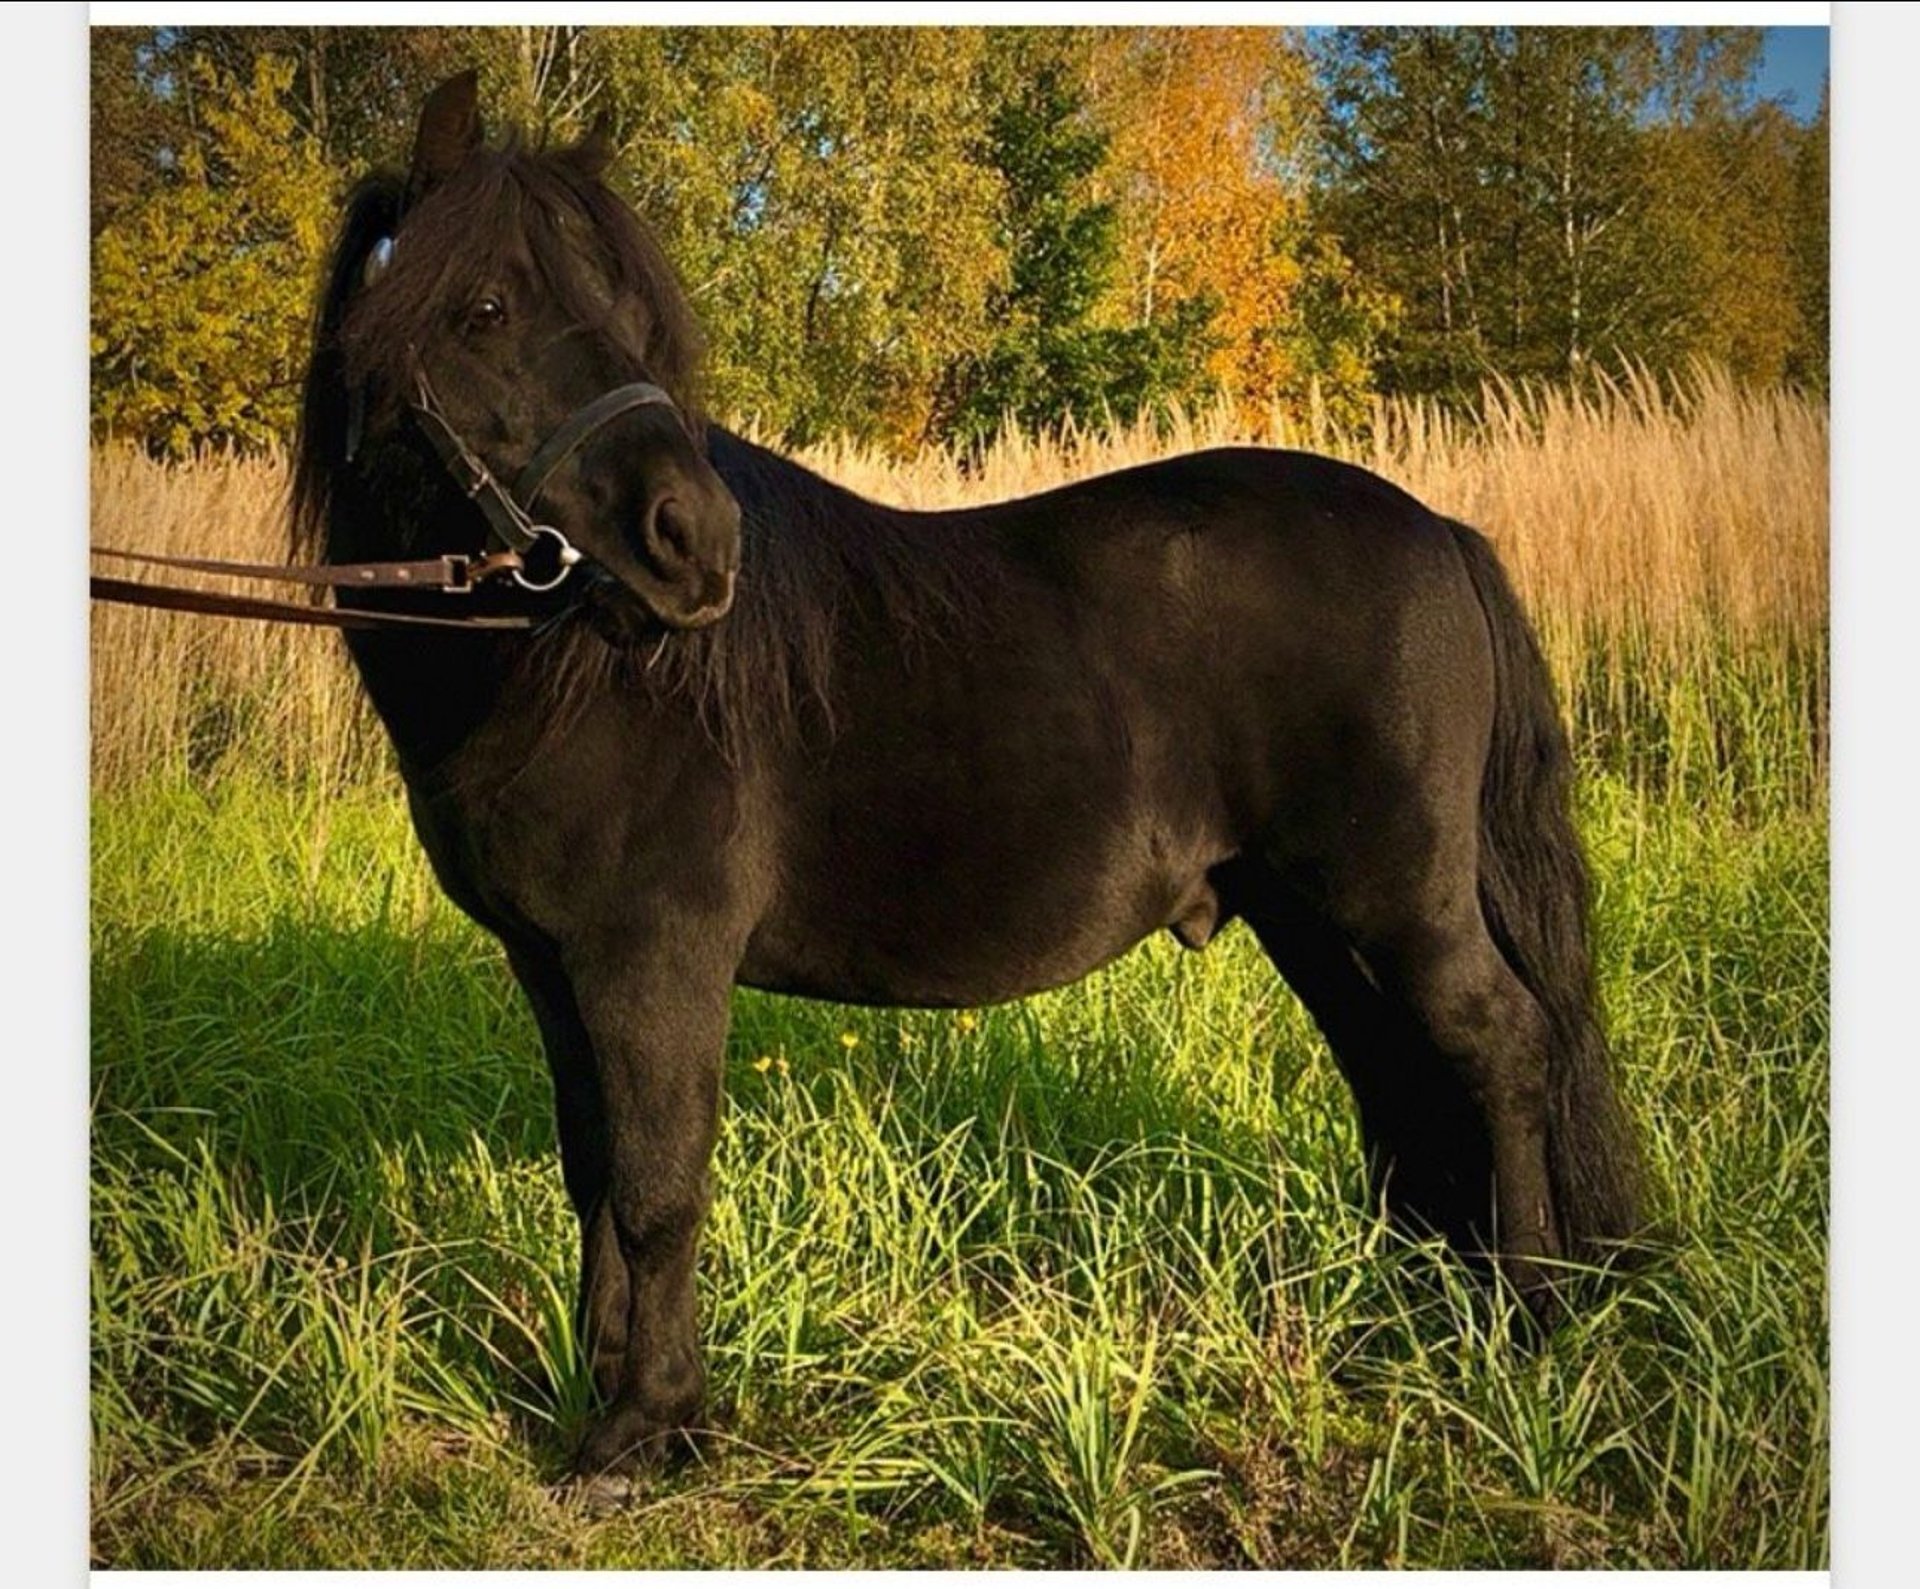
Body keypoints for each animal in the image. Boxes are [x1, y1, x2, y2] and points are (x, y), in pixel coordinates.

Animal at [293, 73, 1643, 1486]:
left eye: (629, 316)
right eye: (486, 309)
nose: (694, 540)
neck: (572, 669)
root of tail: (1436, 531)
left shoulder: (651, 958)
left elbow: (660, 1183)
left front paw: (647, 1423)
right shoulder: (552, 966)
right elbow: (597, 1169)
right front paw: (602, 1392)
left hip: (1397, 900)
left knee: (1498, 1043)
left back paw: (1531, 1310)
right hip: (1312, 917)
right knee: (1394, 1065)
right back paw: (1423, 1296)